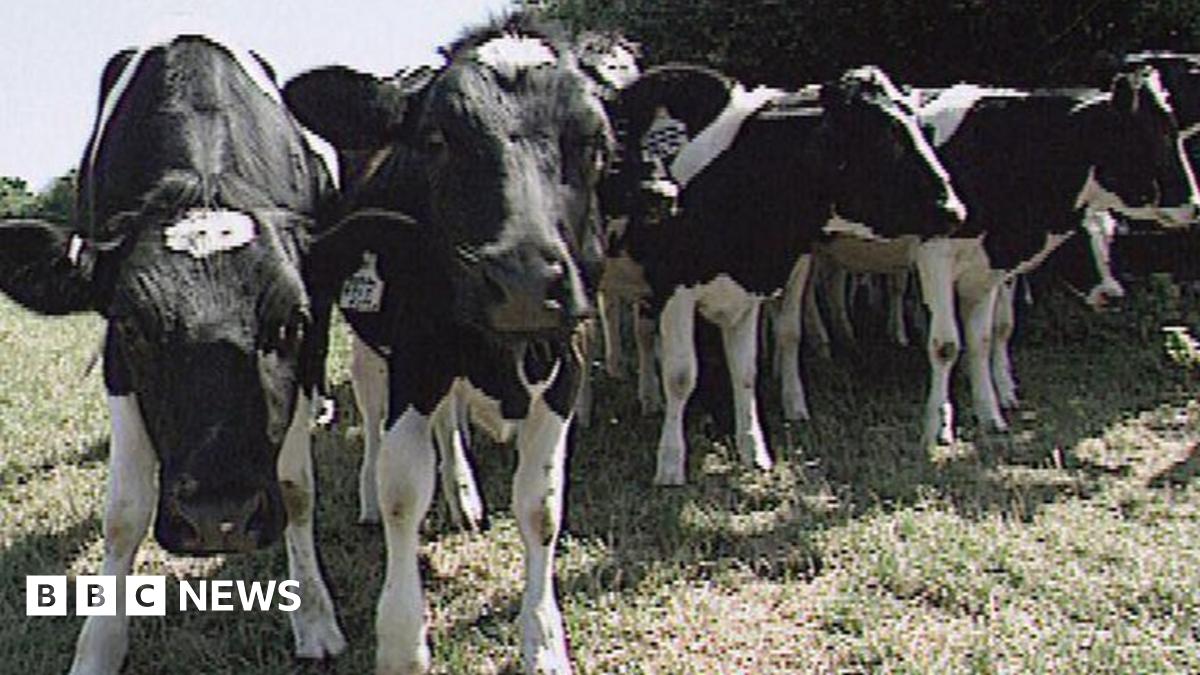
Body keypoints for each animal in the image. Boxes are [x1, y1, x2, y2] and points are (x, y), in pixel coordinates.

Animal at [0, 35, 362, 673]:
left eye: (290, 323)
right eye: (133, 325)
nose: (219, 519)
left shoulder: (313, 333)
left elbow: (296, 486)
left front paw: (315, 618)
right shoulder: (117, 360)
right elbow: (124, 512)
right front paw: (99, 645)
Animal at [284, 15, 612, 674]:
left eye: (593, 139)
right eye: (437, 140)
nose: (523, 279)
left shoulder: (568, 361)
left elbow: (541, 507)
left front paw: (543, 641)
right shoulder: (417, 355)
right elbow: (402, 490)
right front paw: (401, 644)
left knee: (449, 420)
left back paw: (463, 494)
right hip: (366, 338)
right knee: (372, 410)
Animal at [602, 63, 967, 485]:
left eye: (919, 127)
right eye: (885, 137)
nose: (954, 210)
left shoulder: (747, 294)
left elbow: (745, 371)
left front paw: (753, 449)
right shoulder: (675, 288)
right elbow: (681, 375)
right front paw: (671, 464)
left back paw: (648, 397)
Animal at [912, 68, 1199, 447]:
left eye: (1111, 236)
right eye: (1155, 136)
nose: (1194, 205)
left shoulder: (989, 264)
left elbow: (984, 337)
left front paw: (991, 414)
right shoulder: (936, 254)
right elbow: (945, 344)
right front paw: (937, 428)